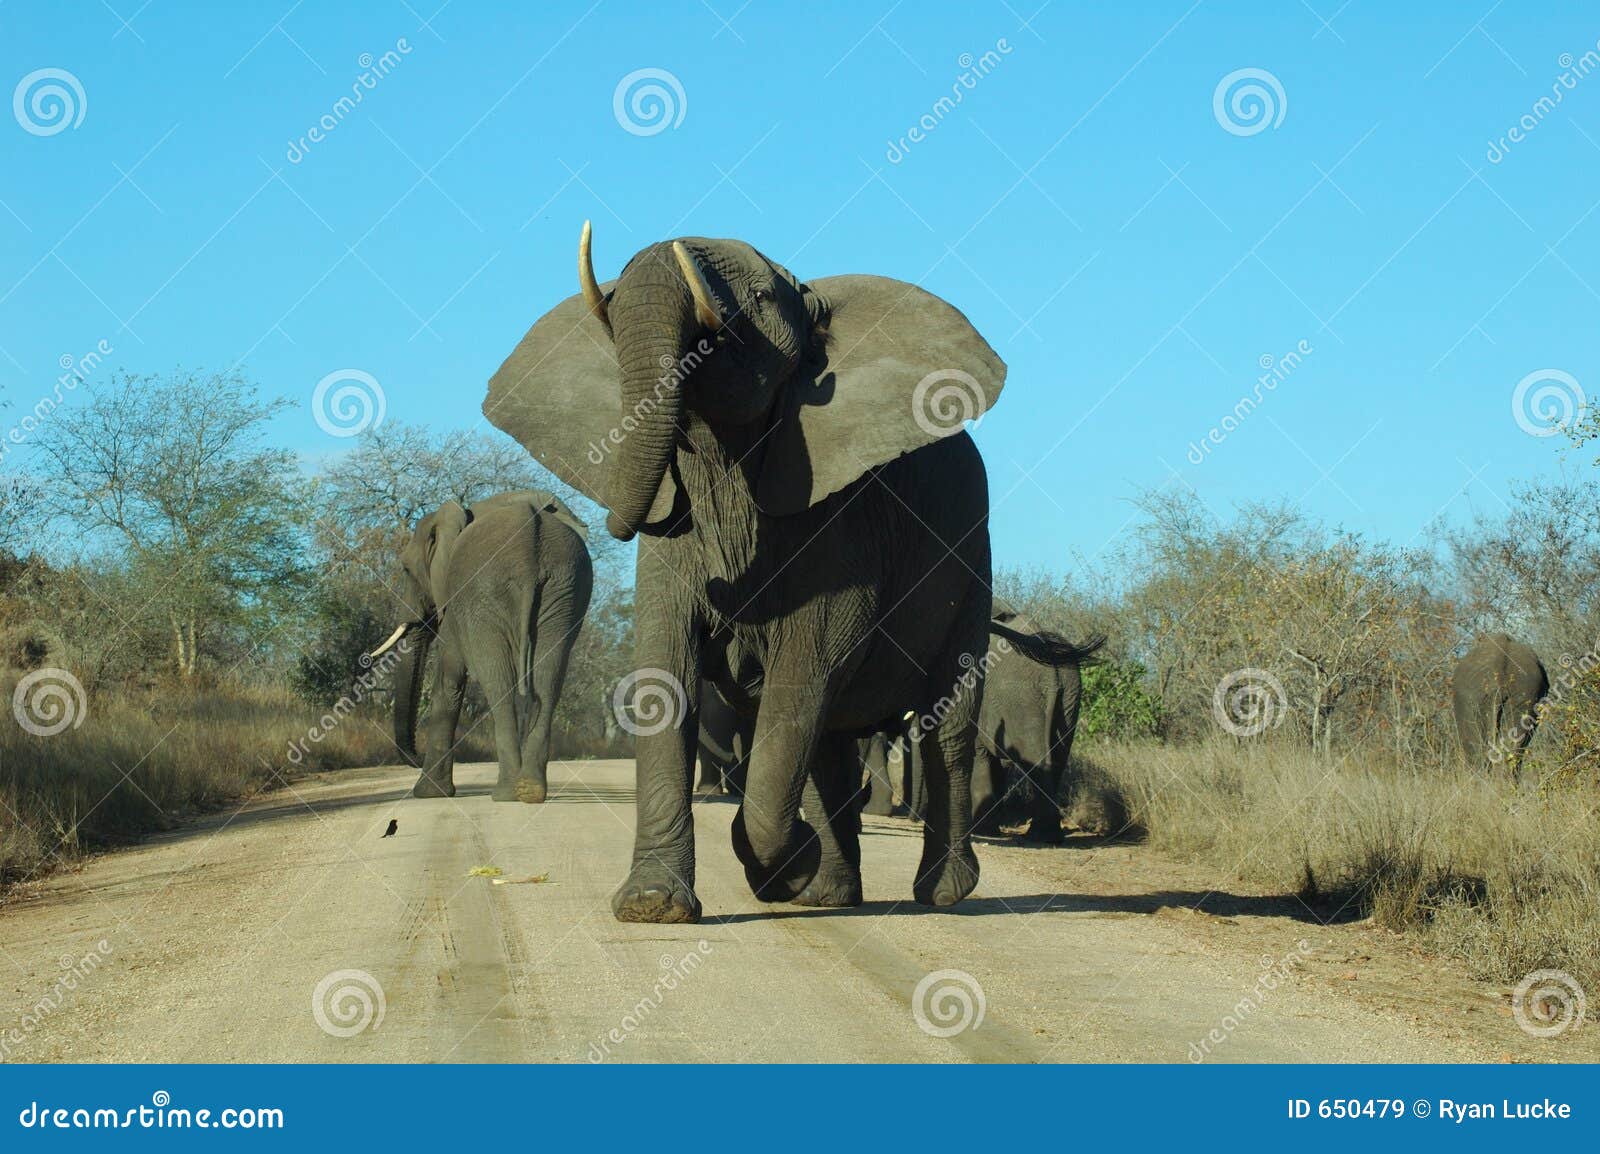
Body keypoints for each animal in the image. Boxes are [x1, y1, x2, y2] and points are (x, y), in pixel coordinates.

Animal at [372, 489, 593, 802]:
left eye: (405, 569)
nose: (415, 755)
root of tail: (530, 548)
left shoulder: (456, 599)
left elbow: (449, 679)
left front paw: (429, 794)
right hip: (565, 590)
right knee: (548, 680)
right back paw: (530, 791)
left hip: (487, 593)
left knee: (499, 683)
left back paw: (505, 793)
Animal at [483, 222, 1089, 923]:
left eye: (759, 301)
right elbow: (667, 663)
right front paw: (654, 905)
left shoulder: (844, 515)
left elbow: (811, 661)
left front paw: (780, 863)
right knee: (829, 739)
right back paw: (829, 893)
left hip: (973, 560)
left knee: (947, 723)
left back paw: (939, 892)